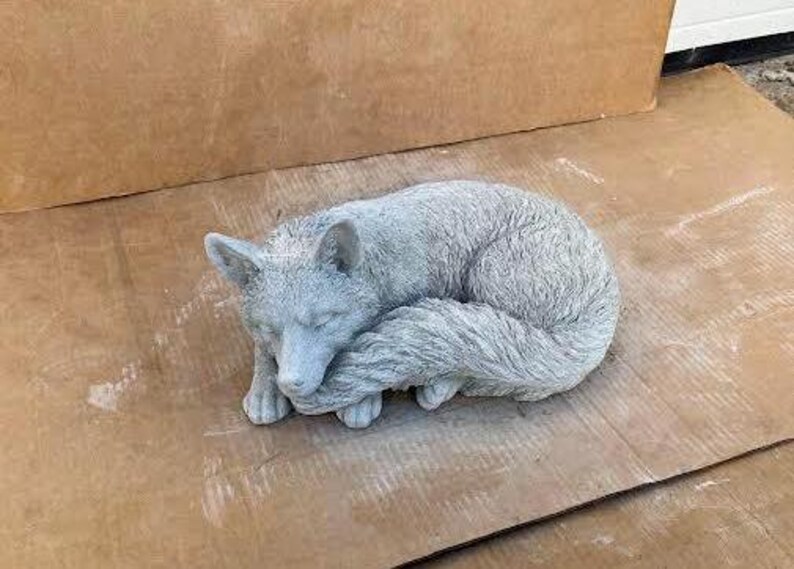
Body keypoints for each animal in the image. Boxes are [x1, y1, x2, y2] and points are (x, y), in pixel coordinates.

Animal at [204, 180, 620, 428]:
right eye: (268, 328)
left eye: (324, 321)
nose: (292, 383)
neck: (376, 262)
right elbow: (262, 353)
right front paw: (264, 392)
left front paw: (361, 401)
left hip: (491, 273)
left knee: (493, 339)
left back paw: (439, 384)